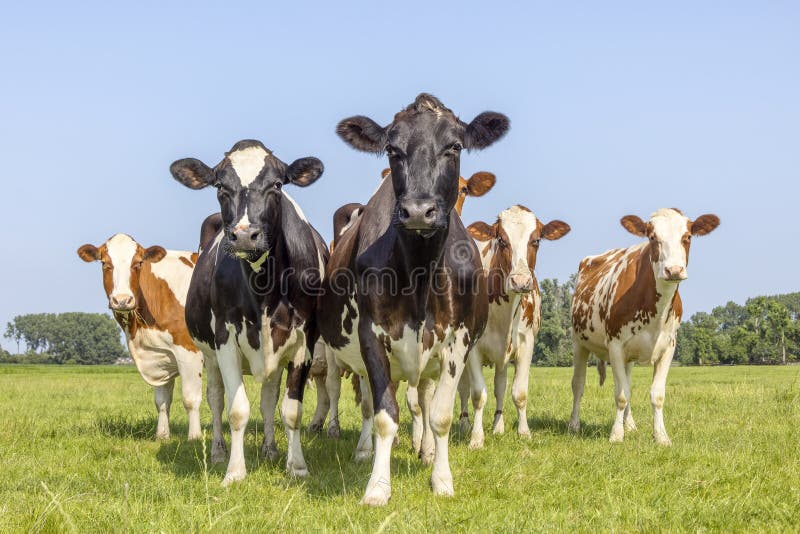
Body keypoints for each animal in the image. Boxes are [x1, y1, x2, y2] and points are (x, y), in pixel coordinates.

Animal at [77, 234, 204, 441]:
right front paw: (162, 435)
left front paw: (194, 437)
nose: (122, 300)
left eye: (137, 263)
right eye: (104, 263)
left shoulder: (189, 351)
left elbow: (190, 399)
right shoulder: (161, 355)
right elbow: (161, 401)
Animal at [170, 139, 327, 485]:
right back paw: (217, 452)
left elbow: (290, 410)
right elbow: (237, 409)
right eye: (220, 186)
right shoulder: (226, 339)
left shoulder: (303, 342)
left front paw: (297, 467)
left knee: (268, 399)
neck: (265, 290)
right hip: (209, 353)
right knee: (215, 398)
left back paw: (269, 449)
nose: (243, 235)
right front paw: (234, 471)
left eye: (277, 184)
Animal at [319, 93, 509, 505]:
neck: (420, 274)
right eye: (393, 149)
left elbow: (439, 414)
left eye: (455, 146)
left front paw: (441, 479)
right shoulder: (372, 336)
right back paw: (365, 449)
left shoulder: (458, 340)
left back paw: (426, 451)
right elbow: (384, 414)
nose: (419, 211)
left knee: (423, 396)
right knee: (368, 401)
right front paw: (377, 486)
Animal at [455, 206, 570, 448]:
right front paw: (476, 438)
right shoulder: (473, 349)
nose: (521, 281)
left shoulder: (526, 344)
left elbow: (519, 392)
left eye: (536, 240)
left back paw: (498, 425)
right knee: (463, 388)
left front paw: (523, 432)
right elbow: (477, 394)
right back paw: (464, 424)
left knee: (500, 386)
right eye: (501, 240)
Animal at [569, 208, 719, 445]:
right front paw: (616, 435)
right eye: (652, 237)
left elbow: (656, 395)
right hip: (579, 342)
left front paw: (661, 436)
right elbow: (621, 395)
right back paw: (574, 425)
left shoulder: (668, 347)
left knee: (626, 382)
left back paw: (630, 425)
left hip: (628, 356)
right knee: (578, 385)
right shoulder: (615, 345)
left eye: (687, 237)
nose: (673, 270)